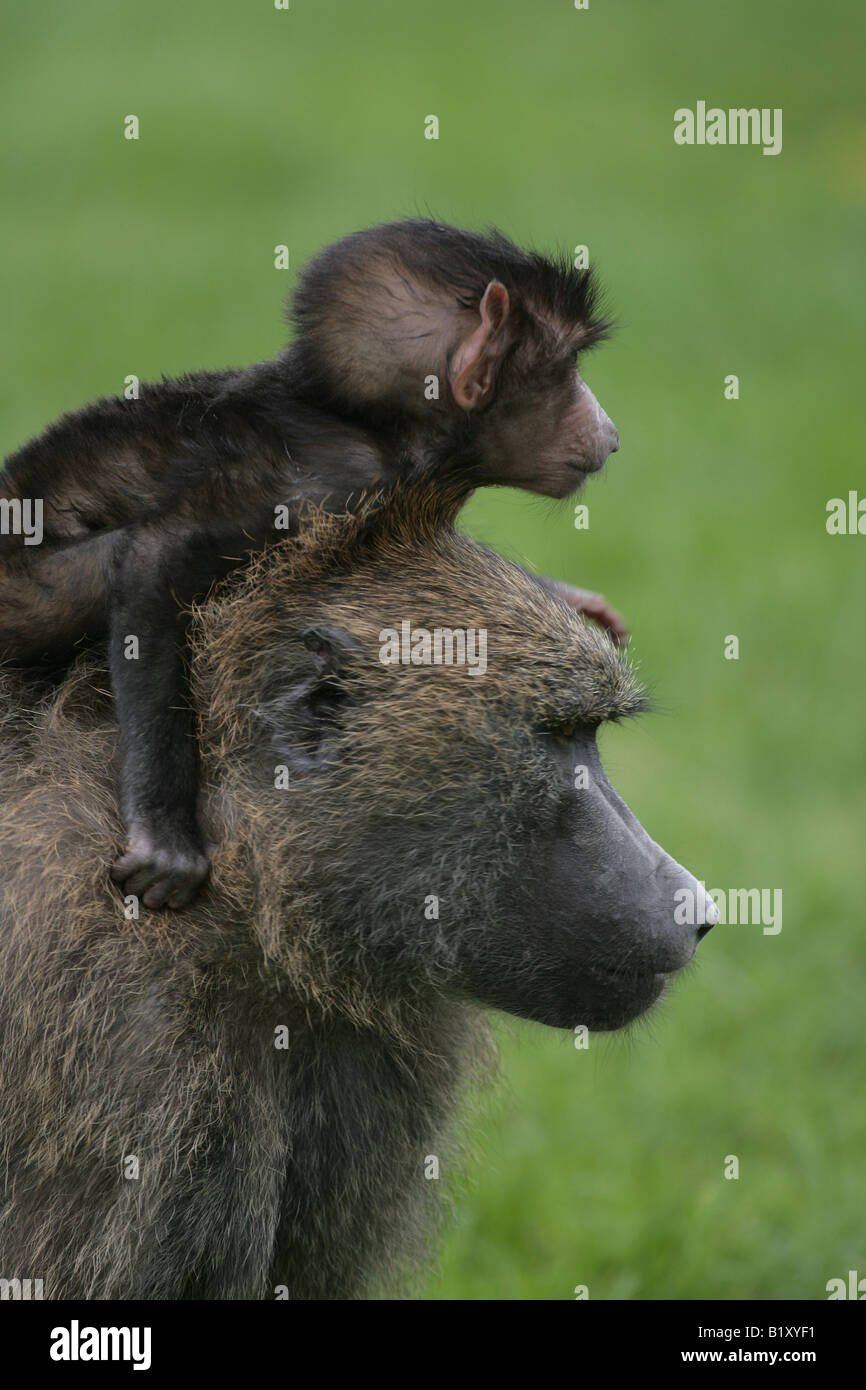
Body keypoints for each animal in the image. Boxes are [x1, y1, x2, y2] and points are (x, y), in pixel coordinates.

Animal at [0, 219, 622, 910]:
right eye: (568, 369)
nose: (609, 429)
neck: (368, 425)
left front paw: (568, 596)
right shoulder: (330, 482)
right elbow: (155, 559)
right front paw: (163, 834)